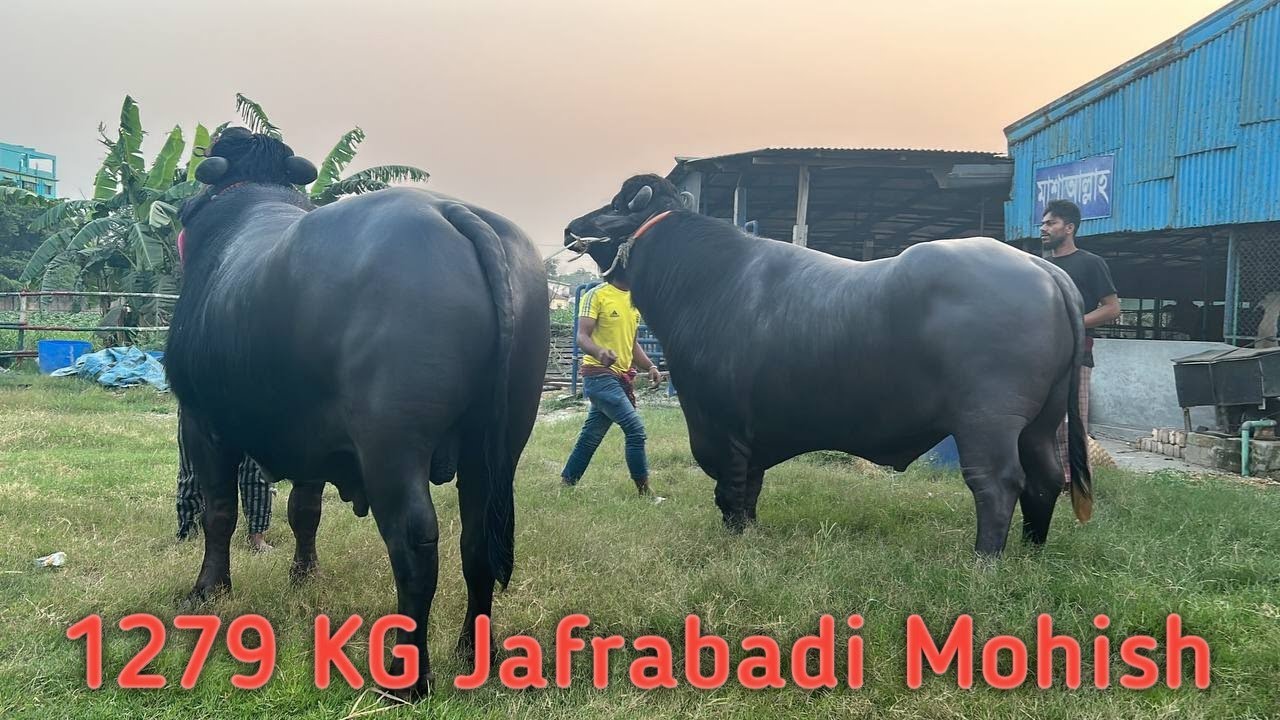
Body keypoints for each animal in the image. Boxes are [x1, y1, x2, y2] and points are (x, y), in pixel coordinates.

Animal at [167, 128, 549, 694]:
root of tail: (454, 211)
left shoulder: (203, 423)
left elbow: (219, 513)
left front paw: (208, 589)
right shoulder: (311, 440)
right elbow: (304, 511)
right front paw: (304, 576)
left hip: (394, 446)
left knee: (415, 541)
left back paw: (406, 680)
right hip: (497, 446)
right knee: (477, 542)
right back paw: (473, 651)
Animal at [565, 174, 1092, 555]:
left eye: (617, 204)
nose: (571, 227)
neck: (709, 281)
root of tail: (1046, 269)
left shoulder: (723, 425)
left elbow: (731, 491)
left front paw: (735, 536)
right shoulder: (752, 436)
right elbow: (751, 488)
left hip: (988, 422)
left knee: (998, 484)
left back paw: (985, 559)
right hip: (1040, 424)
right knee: (1046, 478)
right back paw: (1032, 549)